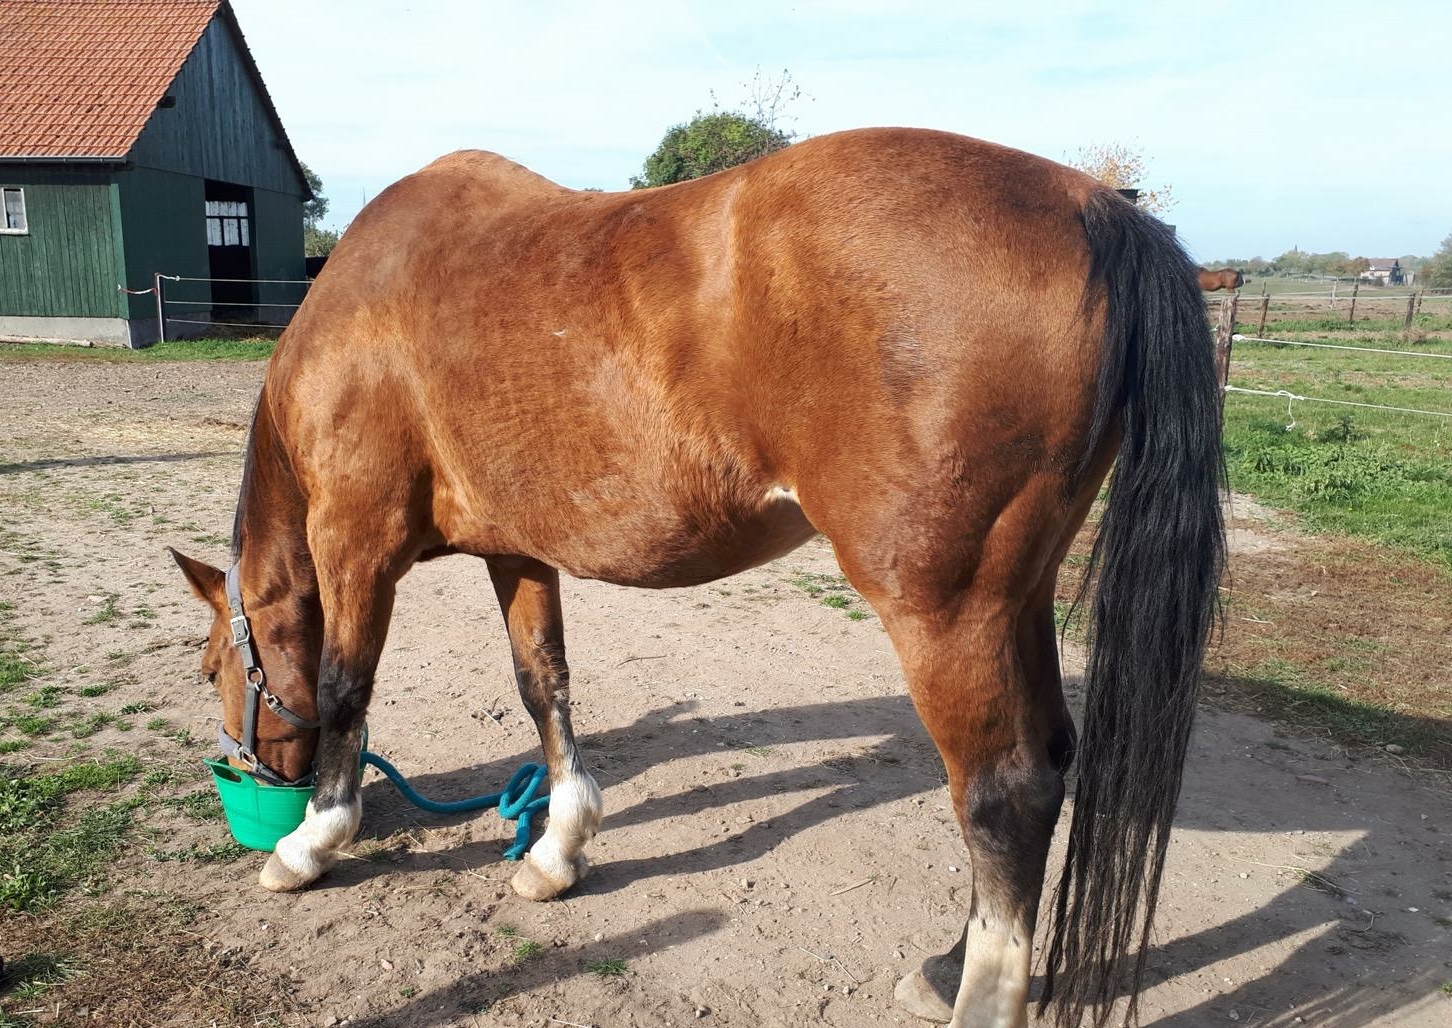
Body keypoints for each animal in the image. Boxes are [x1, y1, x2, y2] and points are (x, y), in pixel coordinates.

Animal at [170, 128, 1224, 1028]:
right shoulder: (520, 551)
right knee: (1048, 761)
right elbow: (543, 686)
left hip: (947, 610)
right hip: (1018, 595)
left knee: (1004, 793)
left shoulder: (357, 539)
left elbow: (348, 688)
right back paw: (943, 966)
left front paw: (309, 843)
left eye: (214, 669)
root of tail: (1095, 206)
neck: (360, 310)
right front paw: (557, 851)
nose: (251, 781)